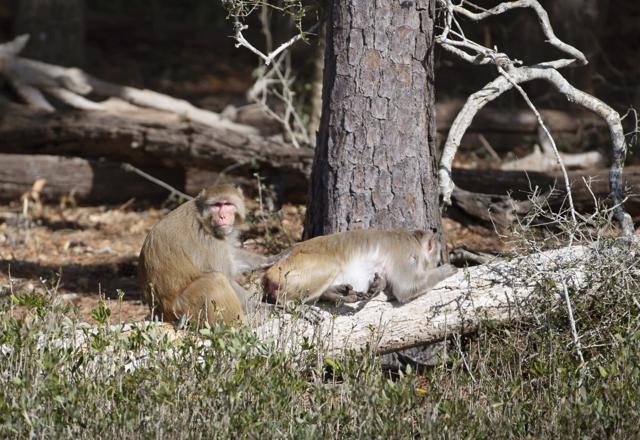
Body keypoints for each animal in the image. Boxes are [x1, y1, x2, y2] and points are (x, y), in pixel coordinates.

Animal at [138, 184, 275, 326]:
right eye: (216, 205)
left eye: (227, 204)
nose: (222, 216)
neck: (203, 219)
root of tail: (160, 313)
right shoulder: (209, 240)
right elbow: (227, 277)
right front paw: (265, 308)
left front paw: (272, 258)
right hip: (183, 310)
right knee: (215, 280)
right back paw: (243, 324)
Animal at [262, 229, 457, 306]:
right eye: (437, 255)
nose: (437, 263)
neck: (413, 240)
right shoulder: (405, 252)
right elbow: (406, 288)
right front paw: (446, 270)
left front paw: (378, 284)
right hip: (289, 272)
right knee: (331, 266)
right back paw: (285, 302)